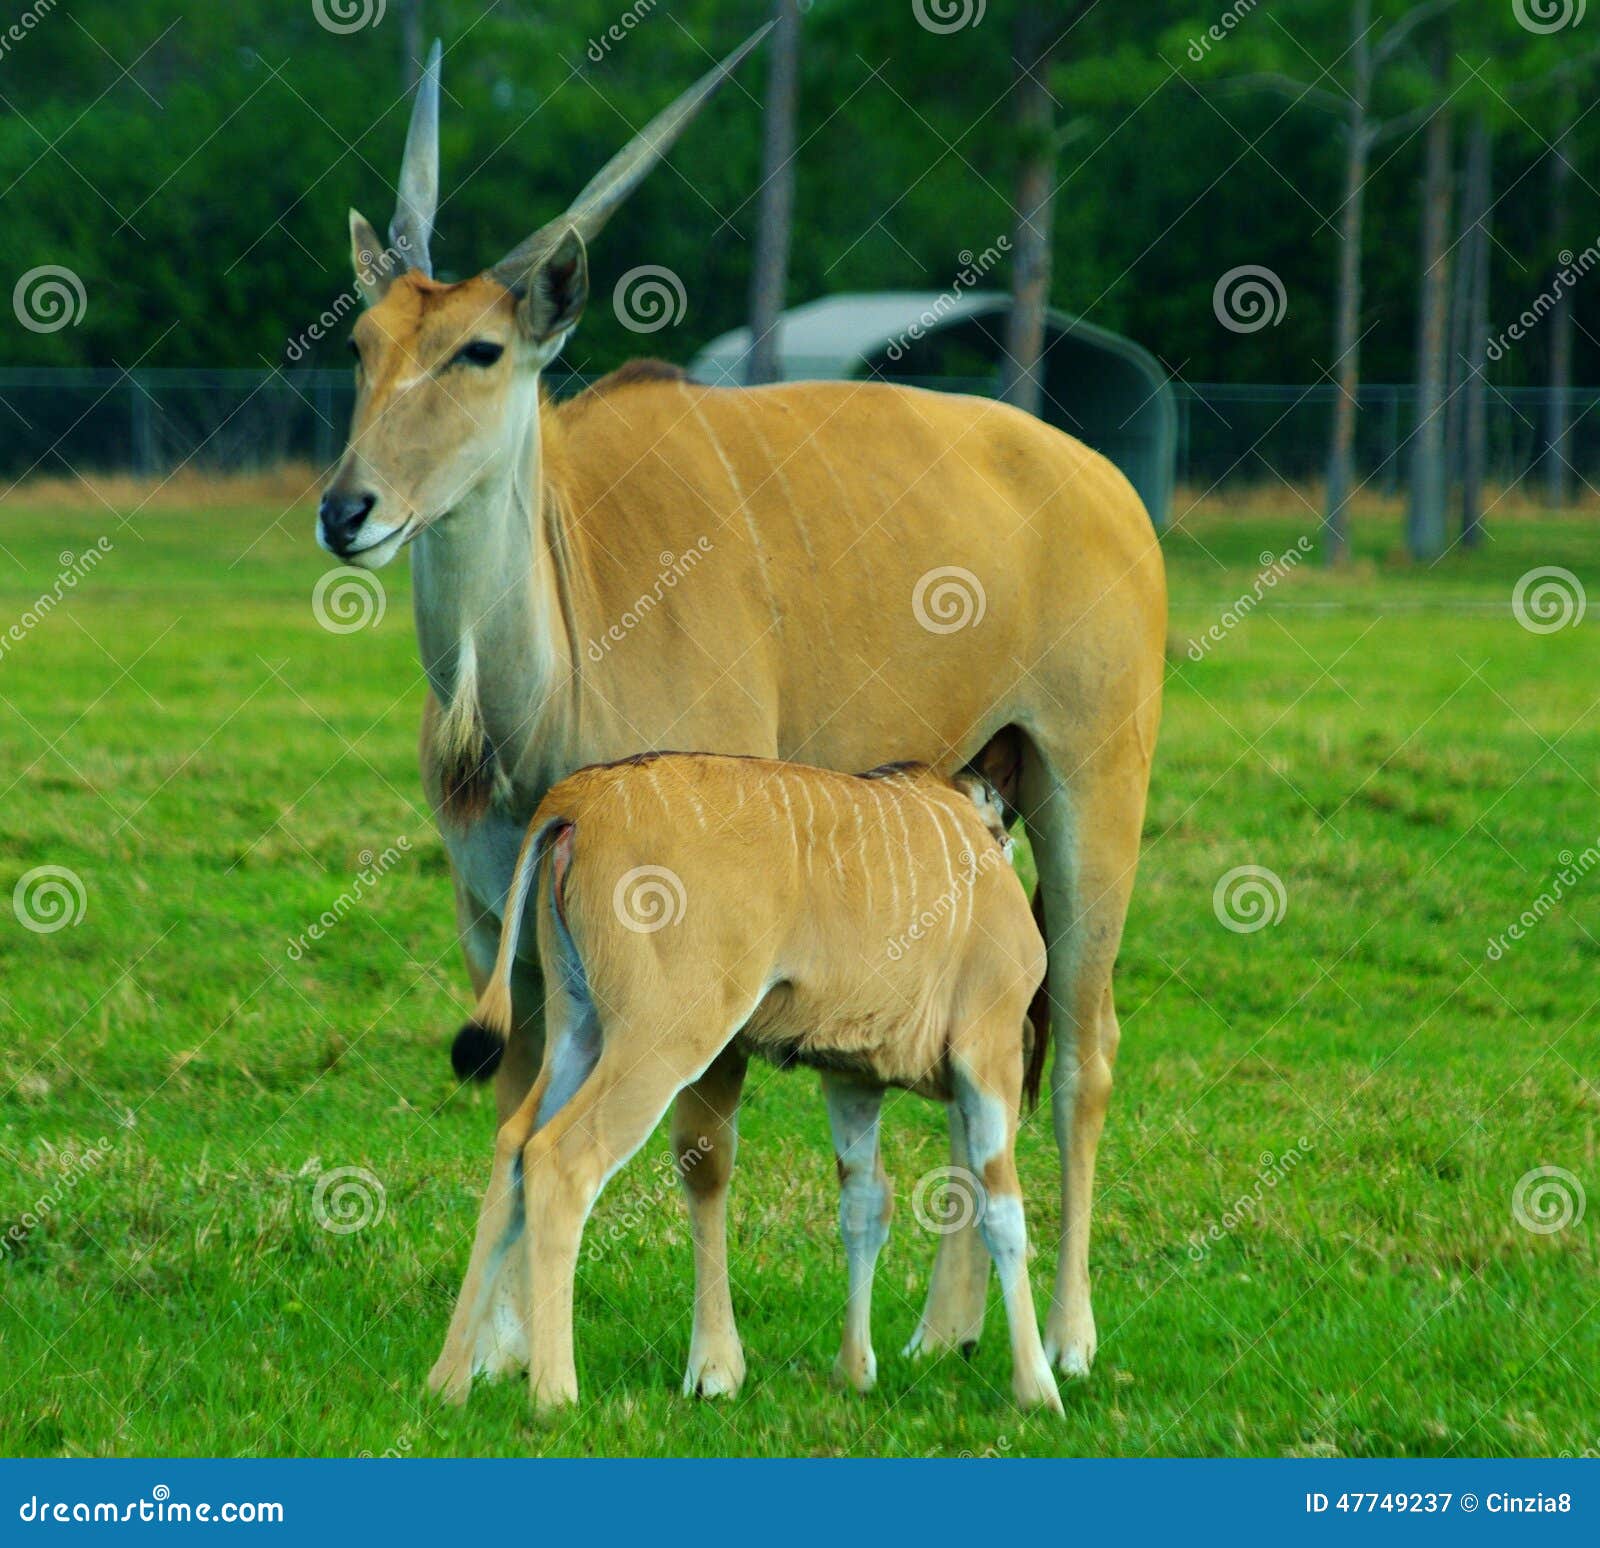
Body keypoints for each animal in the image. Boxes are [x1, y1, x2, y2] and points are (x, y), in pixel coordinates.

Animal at [426, 754, 1062, 1413]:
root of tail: (579, 799)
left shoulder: (851, 1075)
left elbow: (865, 1203)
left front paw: (854, 1372)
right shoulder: (989, 1052)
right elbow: (1001, 1212)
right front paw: (1038, 1389)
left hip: (580, 1030)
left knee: (514, 1140)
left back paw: (447, 1383)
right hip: (661, 1040)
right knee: (559, 1156)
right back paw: (555, 1395)